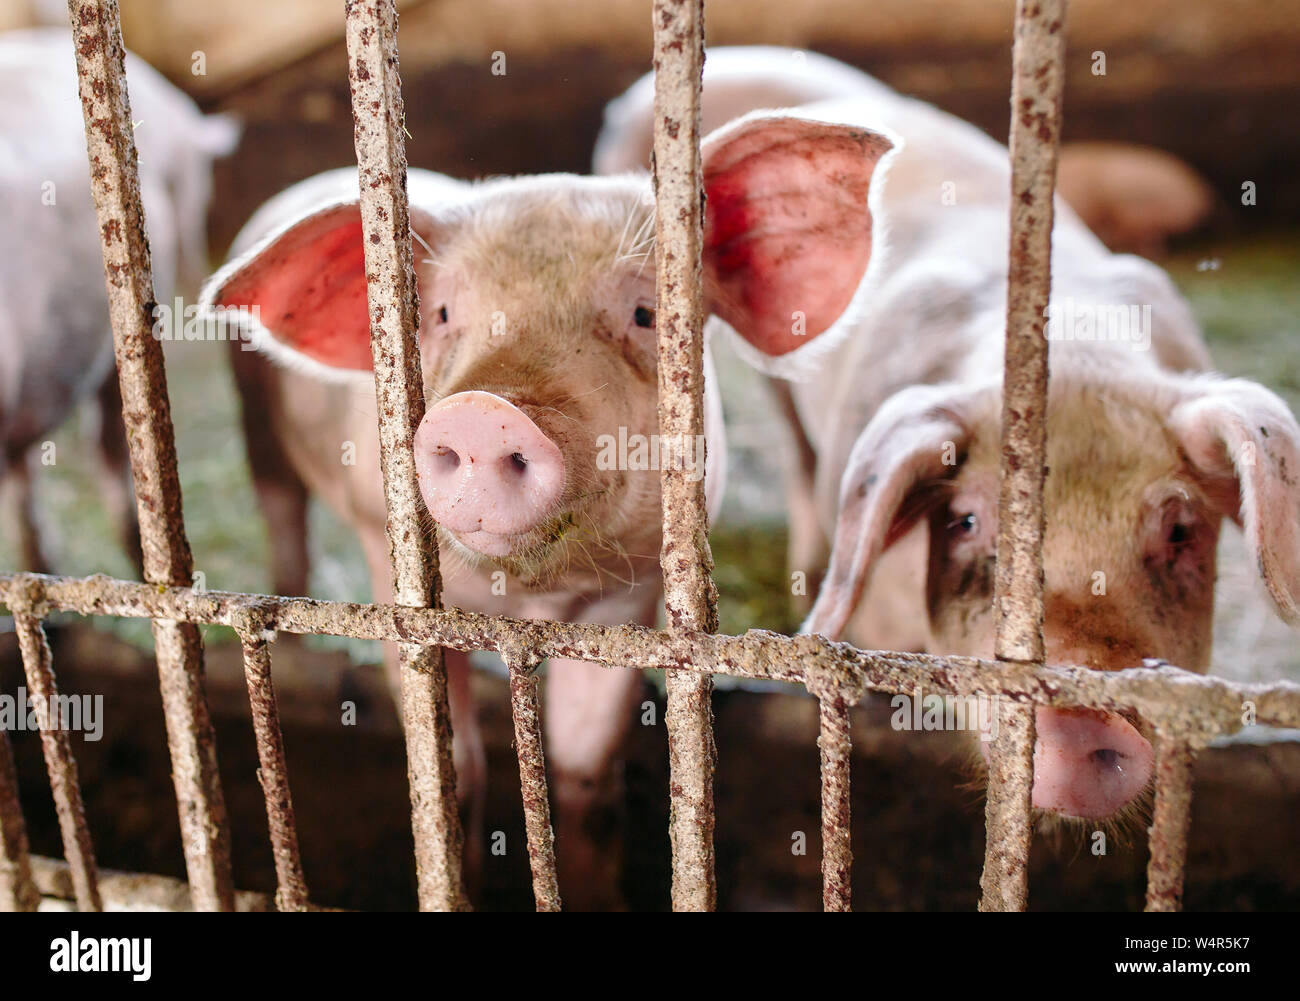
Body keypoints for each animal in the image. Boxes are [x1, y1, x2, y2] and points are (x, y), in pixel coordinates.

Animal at [199, 103, 892, 906]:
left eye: (645, 312)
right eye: (440, 312)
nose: (485, 410)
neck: (528, 600)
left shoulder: (627, 601)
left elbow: (584, 765)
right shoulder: (394, 580)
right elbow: (453, 765)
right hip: (253, 411)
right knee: (282, 514)